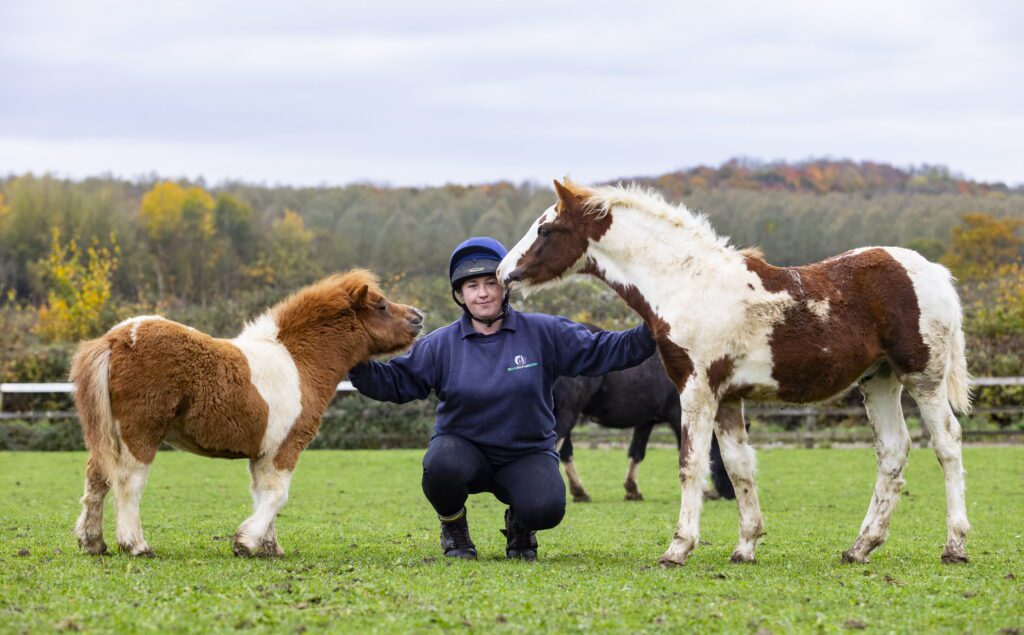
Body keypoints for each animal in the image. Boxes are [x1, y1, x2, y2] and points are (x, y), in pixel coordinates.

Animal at [70, 270, 423, 558]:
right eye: (381, 306)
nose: (418, 317)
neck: (299, 363)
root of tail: (115, 339)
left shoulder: (263, 454)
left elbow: (263, 494)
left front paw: (269, 547)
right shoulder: (284, 448)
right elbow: (278, 495)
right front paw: (245, 542)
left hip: (109, 434)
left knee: (97, 480)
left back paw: (93, 542)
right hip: (140, 433)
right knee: (128, 482)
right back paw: (136, 545)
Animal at [554, 323, 735, 502]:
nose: (731, 494)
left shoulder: (646, 422)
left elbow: (637, 452)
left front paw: (632, 489)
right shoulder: (679, 418)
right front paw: (706, 490)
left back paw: (579, 491)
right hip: (568, 414)